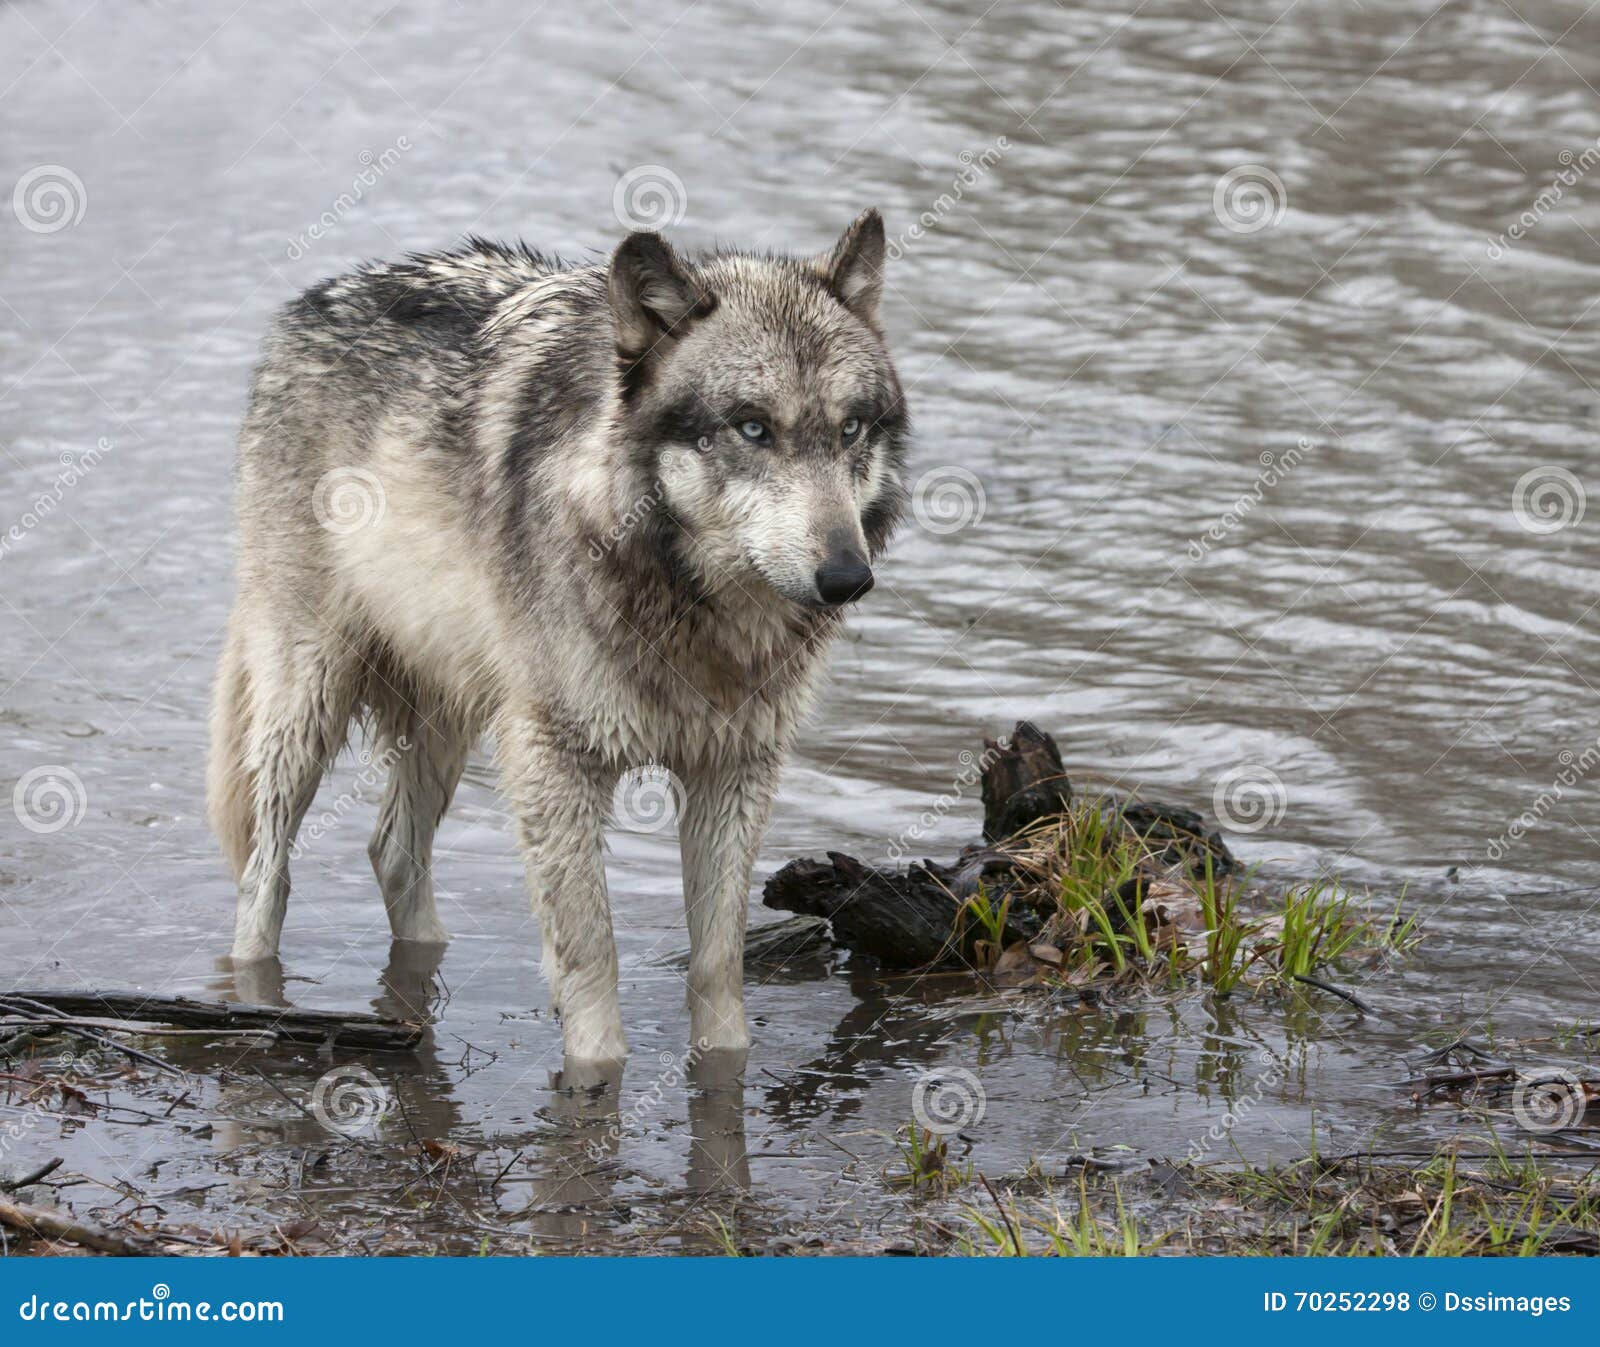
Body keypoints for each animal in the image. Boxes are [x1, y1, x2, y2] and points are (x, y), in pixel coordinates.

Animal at [206, 210, 908, 1061]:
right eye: (753, 428)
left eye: (852, 429)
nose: (847, 575)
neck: (692, 613)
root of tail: (312, 303)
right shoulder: (554, 762)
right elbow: (591, 958)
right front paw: (596, 1078)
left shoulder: (734, 769)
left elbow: (717, 967)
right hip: (310, 701)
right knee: (265, 869)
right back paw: (254, 995)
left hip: (451, 716)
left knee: (392, 851)